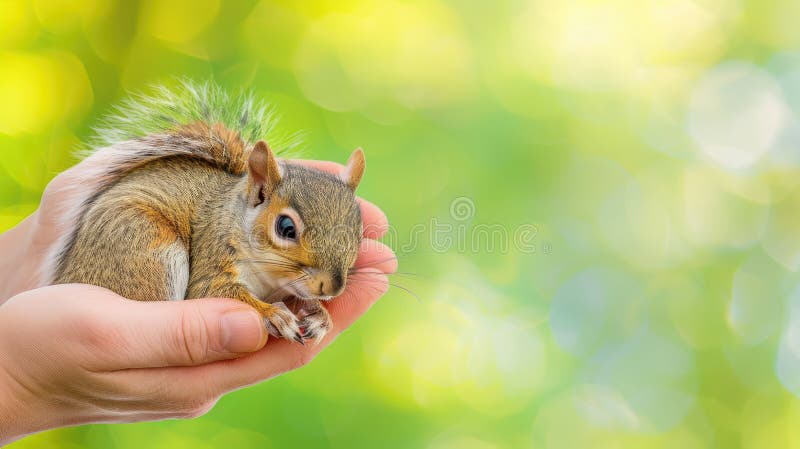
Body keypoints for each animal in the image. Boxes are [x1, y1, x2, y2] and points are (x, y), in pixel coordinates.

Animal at [42, 82, 365, 344]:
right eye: (285, 227)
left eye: (359, 232)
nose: (332, 287)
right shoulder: (213, 253)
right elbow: (210, 291)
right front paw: (273, 314)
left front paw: (319, 316)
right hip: (144, 244)